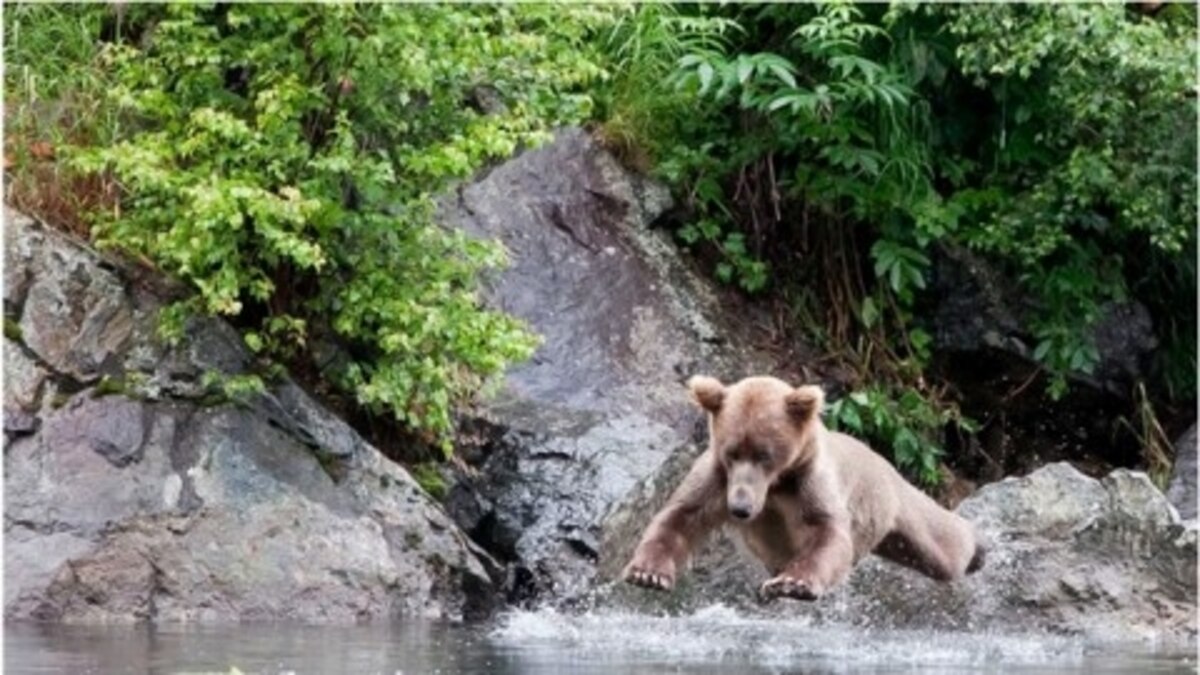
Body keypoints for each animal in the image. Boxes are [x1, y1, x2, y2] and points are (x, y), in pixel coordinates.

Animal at [622, 375, 984, 601]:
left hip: (893, 500)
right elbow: (681, 515)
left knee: (944, 545)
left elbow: (828, 532)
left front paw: (791, 584)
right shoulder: (717, 478)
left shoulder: (811, 480)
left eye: (764, 454)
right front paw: (647, 574)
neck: (776, 485)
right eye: (731, 451)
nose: (740, 508)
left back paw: (978, 549)